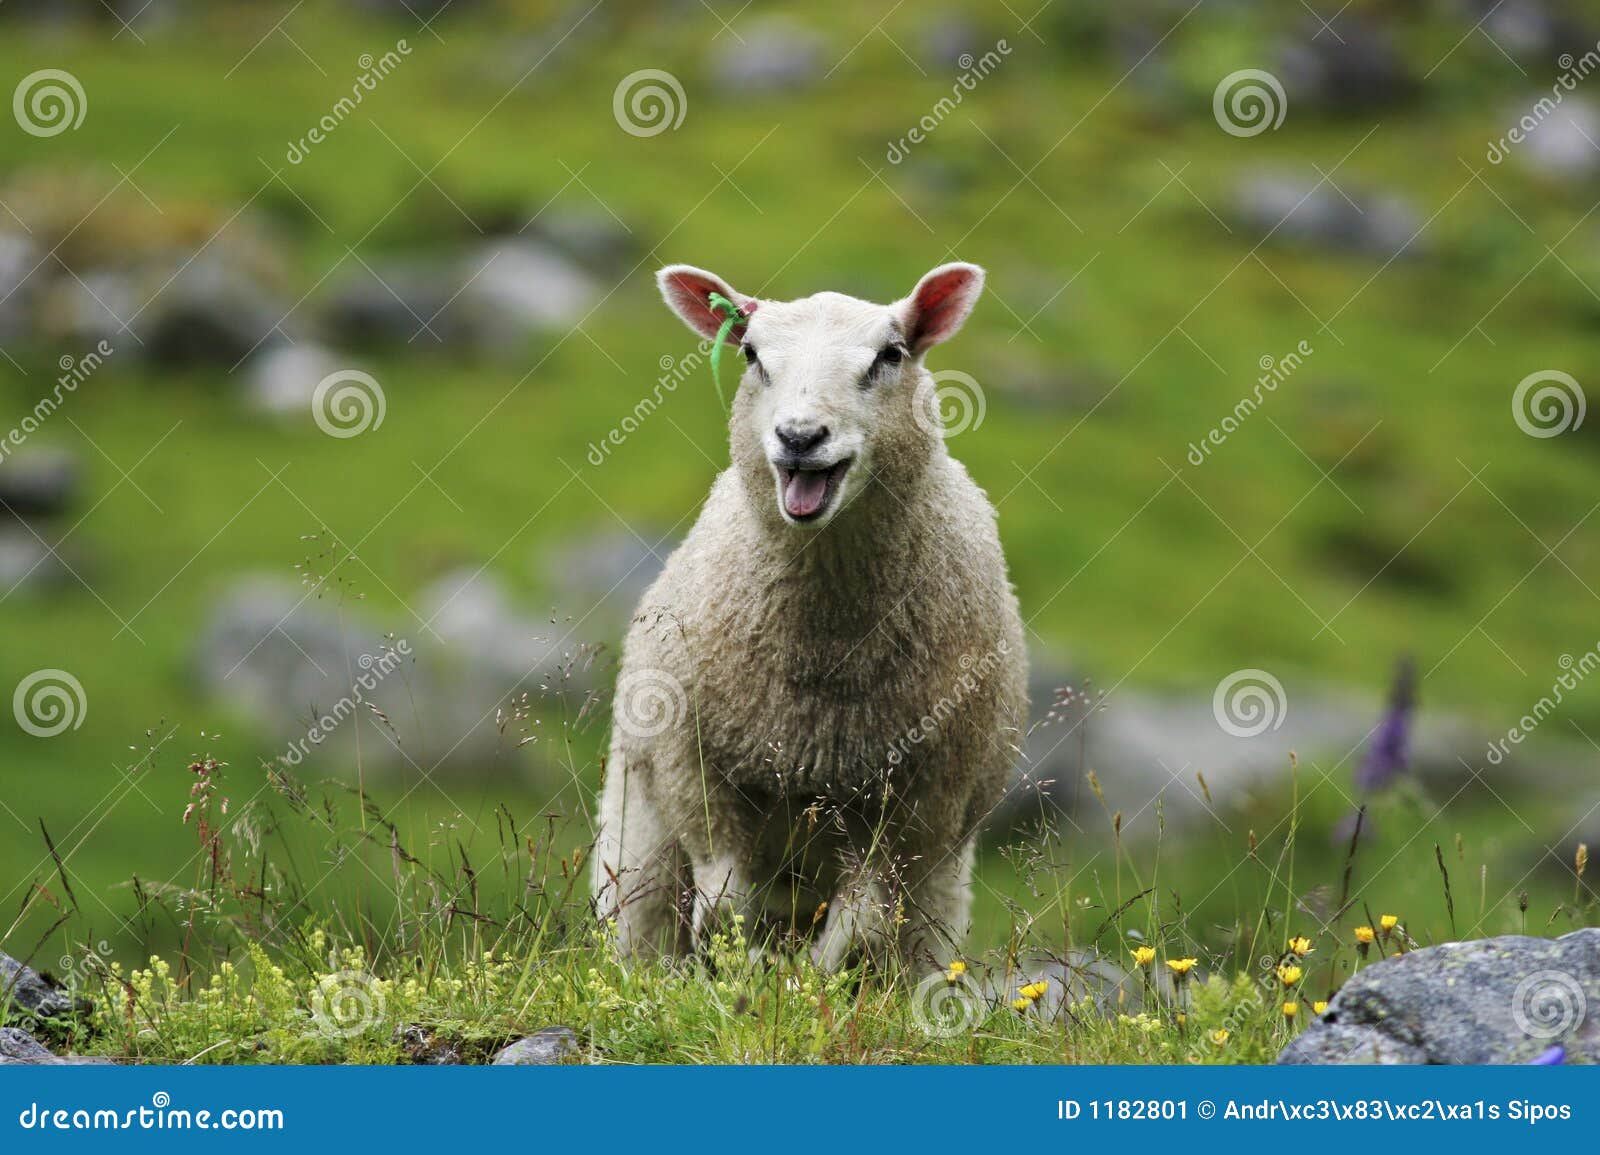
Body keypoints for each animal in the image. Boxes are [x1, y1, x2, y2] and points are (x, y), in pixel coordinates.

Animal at [591, 262, 1028, 972]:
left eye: (890, 355)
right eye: (751, 354)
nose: (800, 437)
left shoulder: (917, 803)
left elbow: (860, 926)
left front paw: (802, 987)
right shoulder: (696, 771)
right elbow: (724, 906)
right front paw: (743, 978)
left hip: (941, 881)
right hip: (638, 836)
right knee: (649, 927)